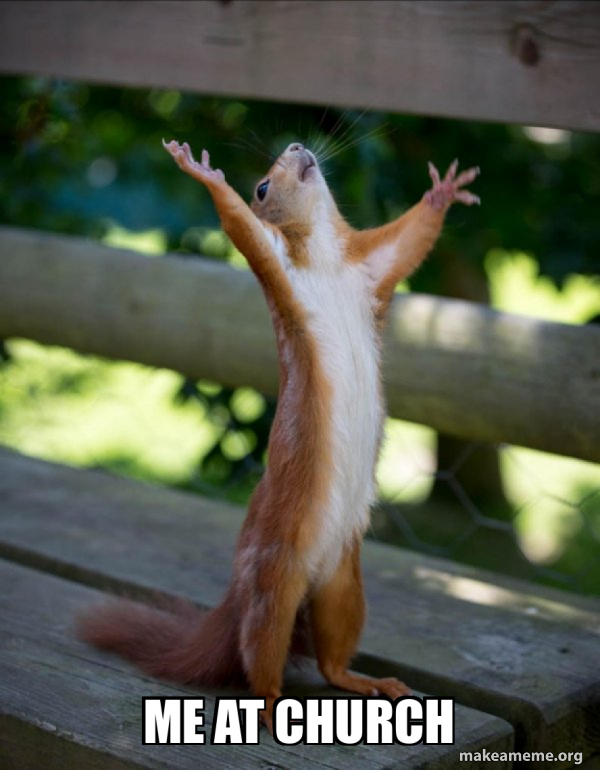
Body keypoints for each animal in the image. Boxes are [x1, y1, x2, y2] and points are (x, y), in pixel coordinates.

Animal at [78, 138, 480, 731]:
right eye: (262, 187)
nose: (296, 146)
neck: (326, 257)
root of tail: (240, 594)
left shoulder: (371, 267)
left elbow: (409, 240)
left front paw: (443, 192)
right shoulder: (277, 265)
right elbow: (240, 226)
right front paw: (204, 174)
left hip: (344, 587)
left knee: (332, 659)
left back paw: (366, 681)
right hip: (273, 584)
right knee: (259, 656)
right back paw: (270, 706)